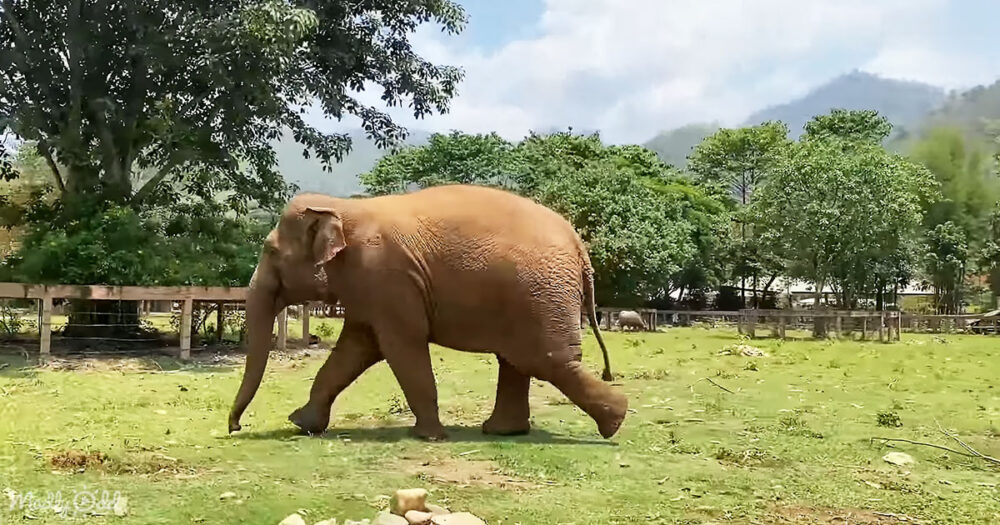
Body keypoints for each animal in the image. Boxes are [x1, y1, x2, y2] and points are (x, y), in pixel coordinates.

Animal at [227, 184, 628, 440]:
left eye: (270, 251)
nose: (235, 427)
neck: (344, 207)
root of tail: (579, 245)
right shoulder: (373, 288)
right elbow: (356, 348)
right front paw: (301, 423)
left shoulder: (388, 278)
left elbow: (401, 346)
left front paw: (430, 436)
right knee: (519, 360)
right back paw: (503, 431)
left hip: (542, 295)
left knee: (547, 361)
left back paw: (616, 420)